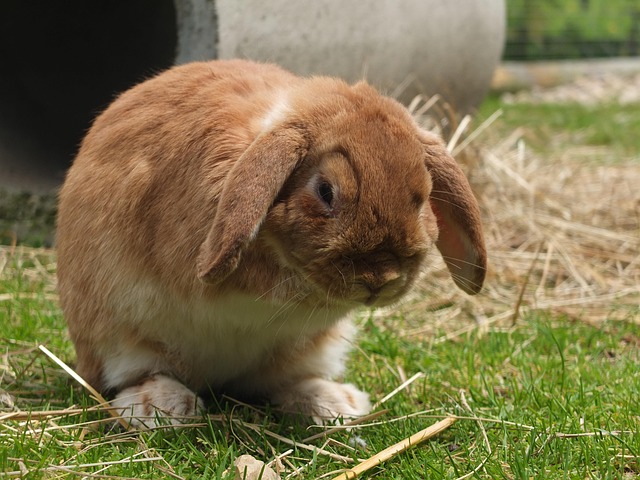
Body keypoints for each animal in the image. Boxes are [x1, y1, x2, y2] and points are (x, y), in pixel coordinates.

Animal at [56, 59, 486, 428]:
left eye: (422, 198)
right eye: (325, 191)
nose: (379, 280)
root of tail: (221, 377)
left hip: (309, 350)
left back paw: (336, 404)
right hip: (119, 340)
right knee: (136, 376)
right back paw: (162, 408)